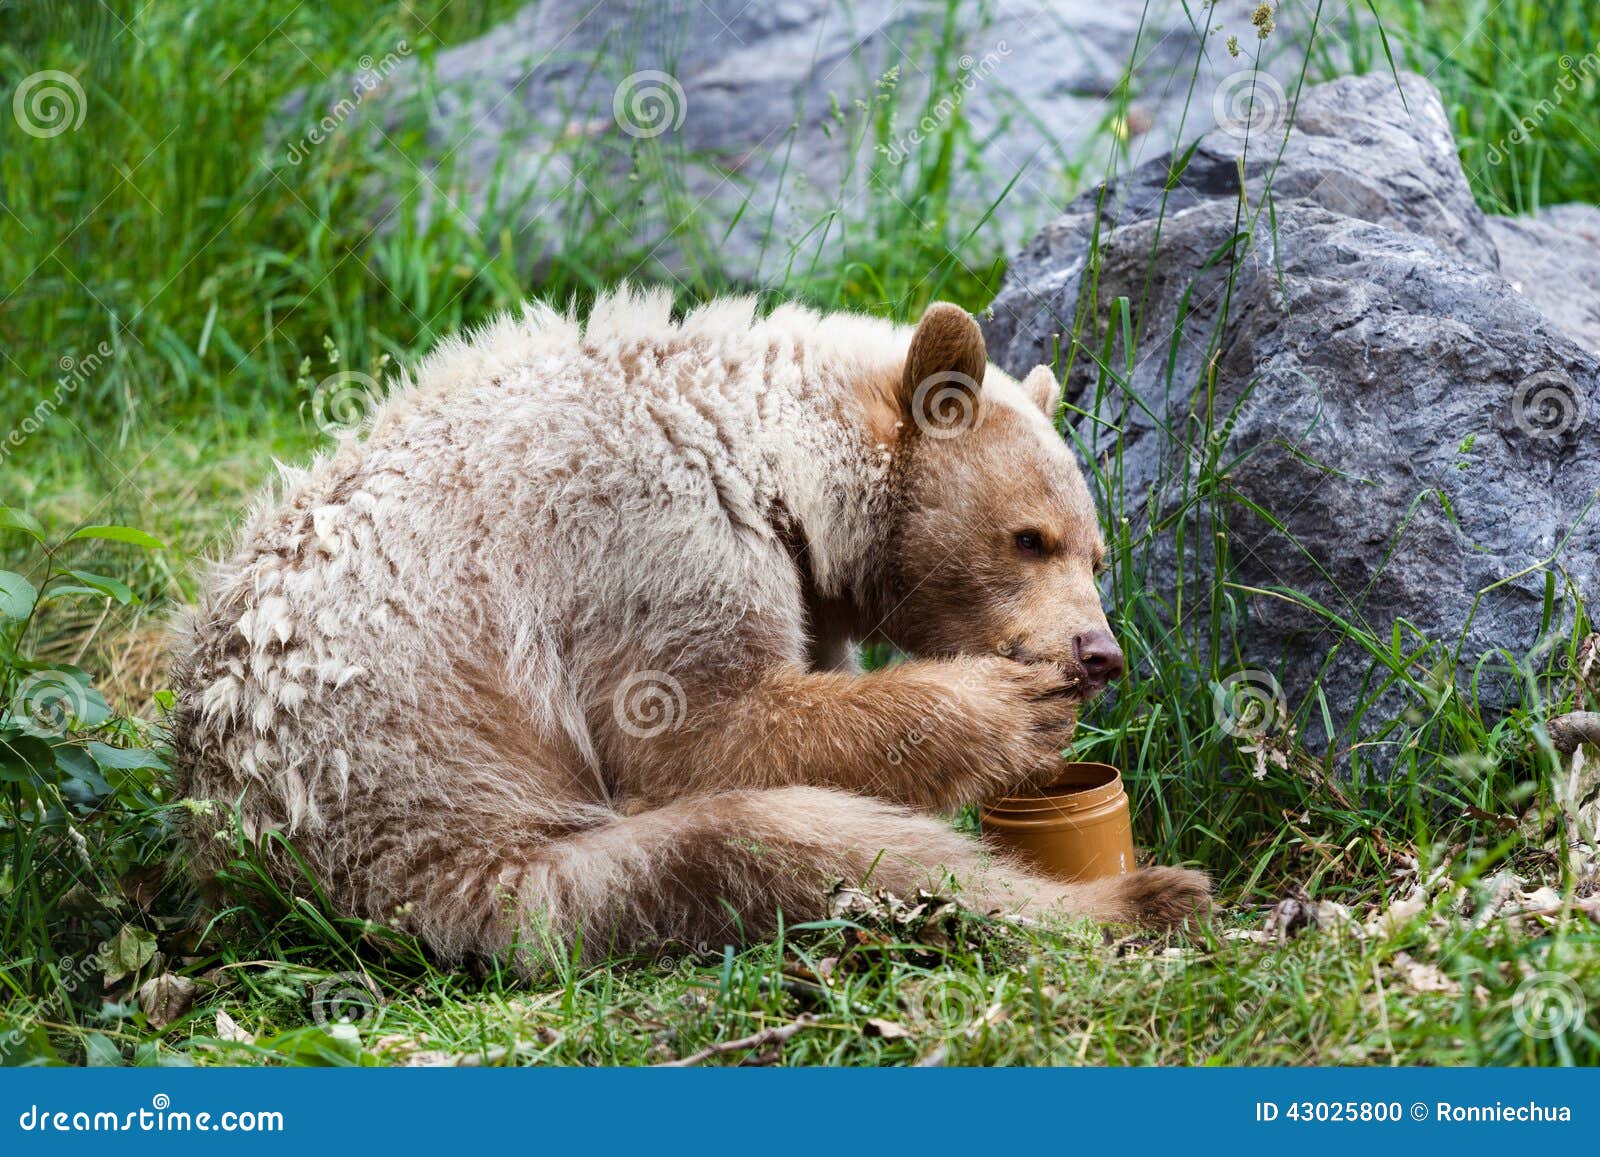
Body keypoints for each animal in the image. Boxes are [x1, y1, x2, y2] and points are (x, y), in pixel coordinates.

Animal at [171, 289, 1209, 969]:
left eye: (1099, 554)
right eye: (1029, 537)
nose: (1097, 652)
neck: (763, 454)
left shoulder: (797, 591)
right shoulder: (645, 537)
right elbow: (704, 728)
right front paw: (1009, 707)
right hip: (460, 837)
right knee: (779, 847)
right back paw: (1136, 898)